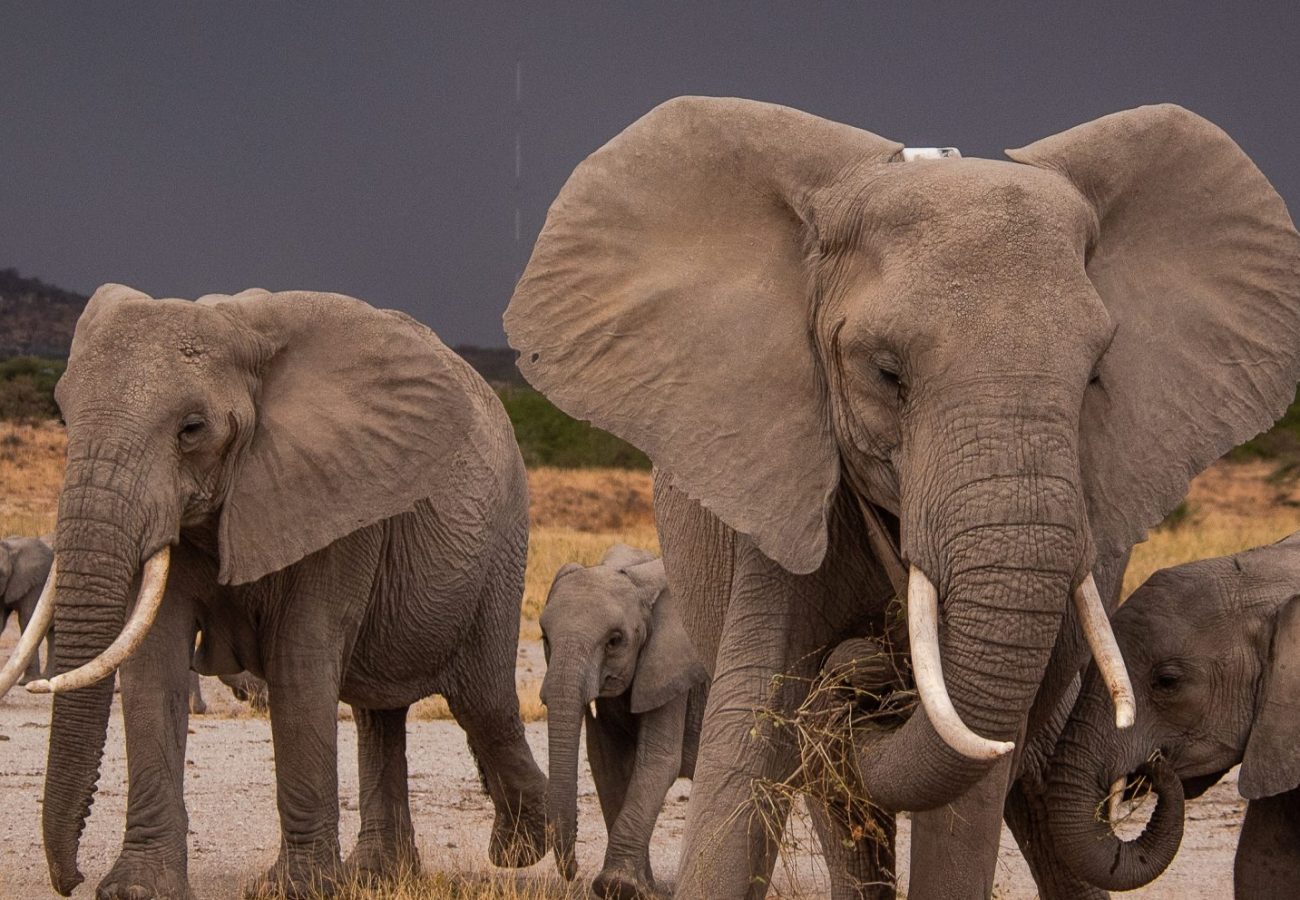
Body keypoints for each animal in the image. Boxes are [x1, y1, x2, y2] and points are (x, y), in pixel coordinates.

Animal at [538, 544, 708, 899]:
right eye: (545, 637)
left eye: (614, 641)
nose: (572, 871)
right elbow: (607, 761)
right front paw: (643, 888)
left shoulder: (672, 666)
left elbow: (658, 760)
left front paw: (619, 885)